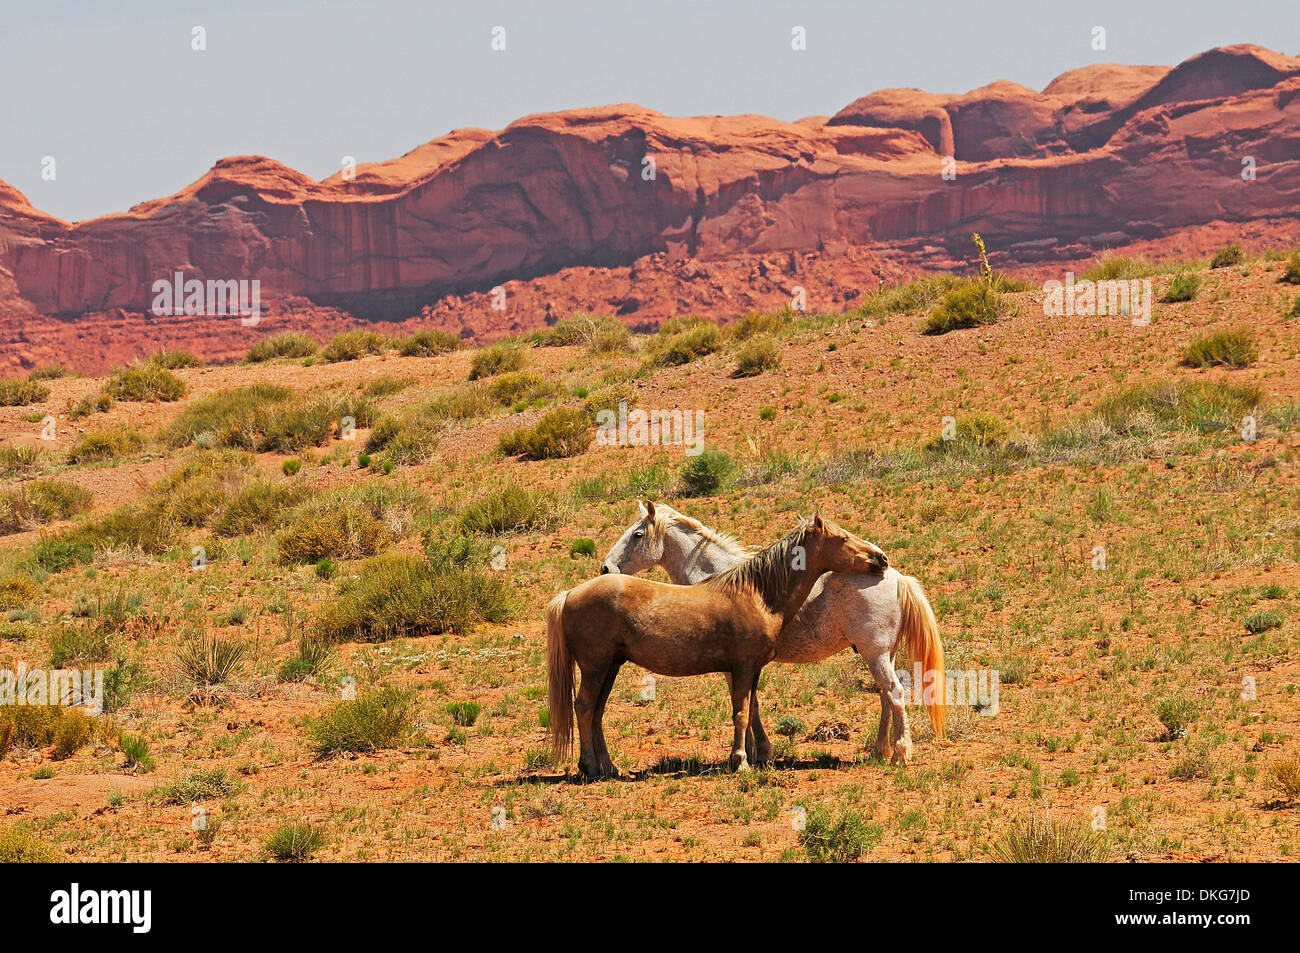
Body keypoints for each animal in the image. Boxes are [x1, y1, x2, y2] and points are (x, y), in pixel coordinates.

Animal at [547, 515, 888, 778]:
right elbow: (741, 714)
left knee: (597, 712)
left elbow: (749, 711)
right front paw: (741, 761)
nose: (881, 558)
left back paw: (608, 767)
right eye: (843, 538)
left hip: (610, 668)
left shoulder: (752, 671)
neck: (756, 594)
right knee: (585, 707)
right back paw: (590, 767)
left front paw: (752, 756)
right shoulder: (741, 668)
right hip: (595, 668)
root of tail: (570, 594)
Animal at [601, 501, 945, 765]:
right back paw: (879, 752)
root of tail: (897, 577)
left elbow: (745, 705)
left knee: (895, 693)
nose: (605, 569)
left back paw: (900, 754)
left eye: (637, 534)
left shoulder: (736, 666)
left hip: (876, 654)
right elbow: (750, 703)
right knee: (887, 696)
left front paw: (754, 753)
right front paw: (758, 752)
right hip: (882, 655)